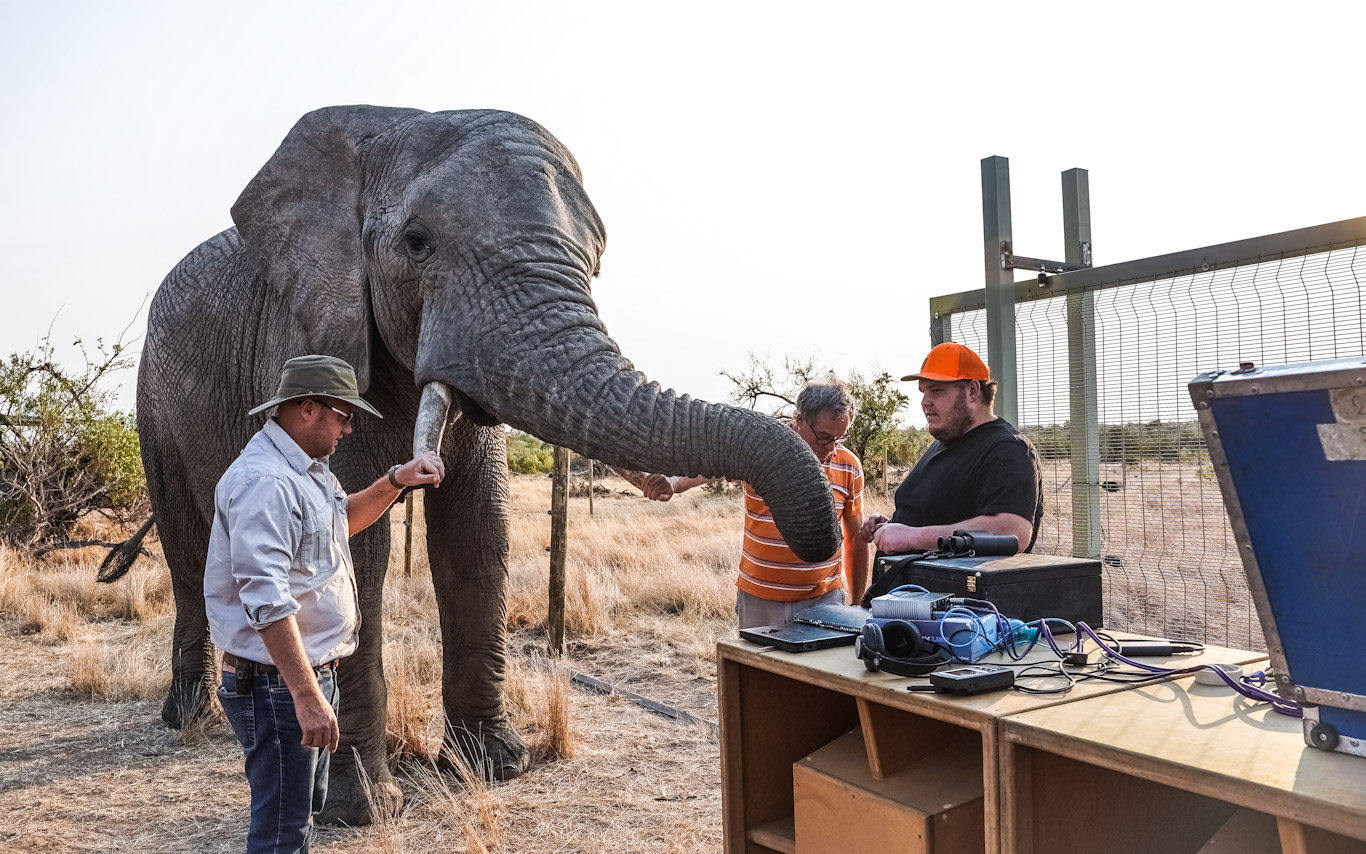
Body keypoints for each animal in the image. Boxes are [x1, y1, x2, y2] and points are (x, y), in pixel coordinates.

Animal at [131, 105, 841, 825]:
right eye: (417, 243)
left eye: (597, 261)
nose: (821, 539)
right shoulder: (312, 332)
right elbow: (357, 552)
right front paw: (363, 811)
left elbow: (477, 533)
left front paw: (495, 766)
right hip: (152, 403)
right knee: (189, 552)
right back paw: (191, 716)